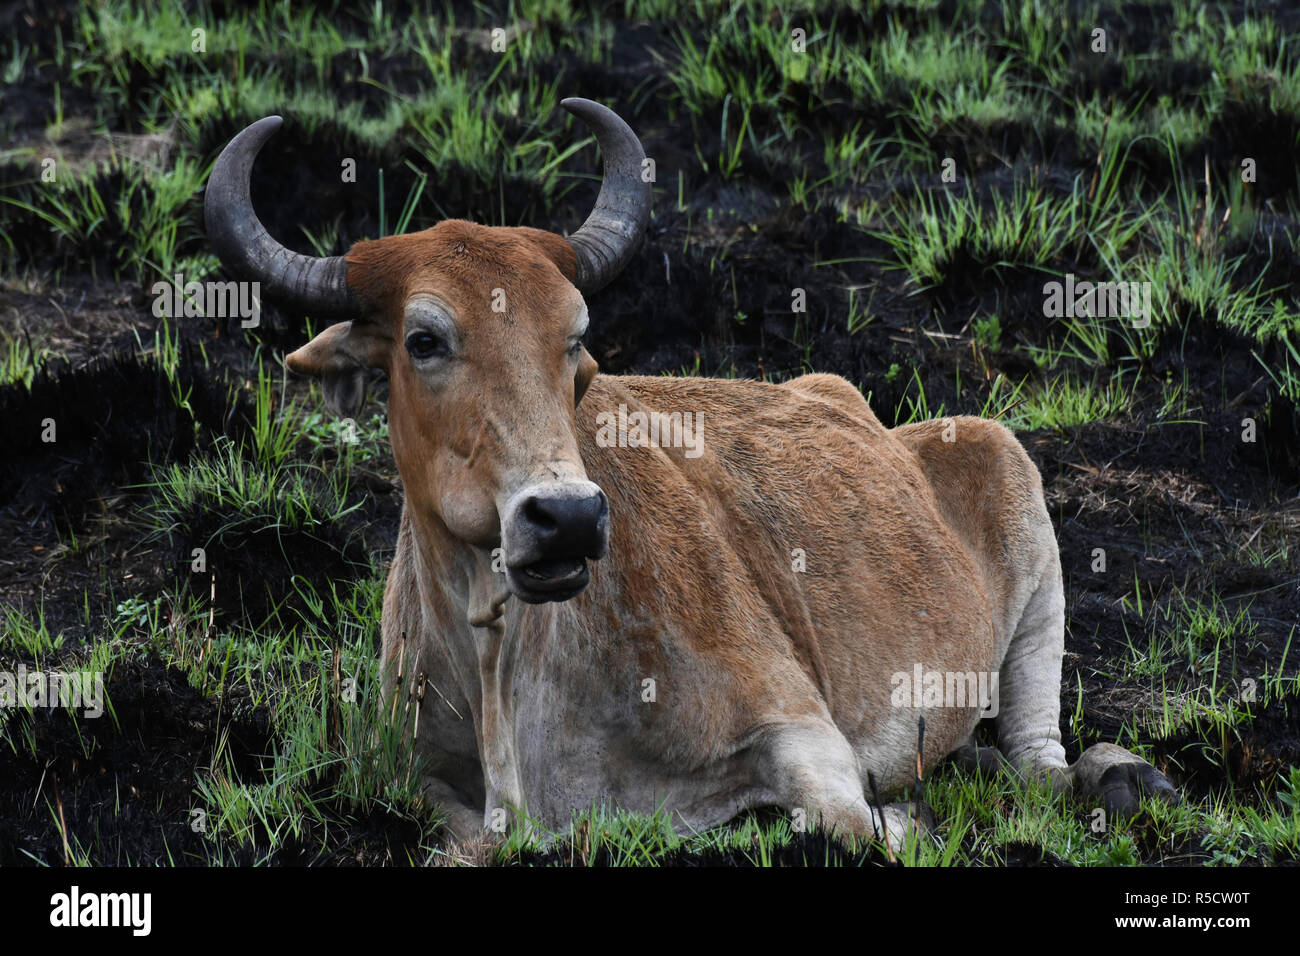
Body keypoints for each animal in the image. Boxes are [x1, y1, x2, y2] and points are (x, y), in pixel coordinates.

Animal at [204, 99, 1177, 847]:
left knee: (1037, 758)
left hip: (1023, 517)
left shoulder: (805, 732)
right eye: (424, 339)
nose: (565, 517)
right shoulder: (414, 780)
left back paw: (1117, 777)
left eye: (574, 337)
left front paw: (906, 818)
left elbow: (849, 820)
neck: (503, 669)